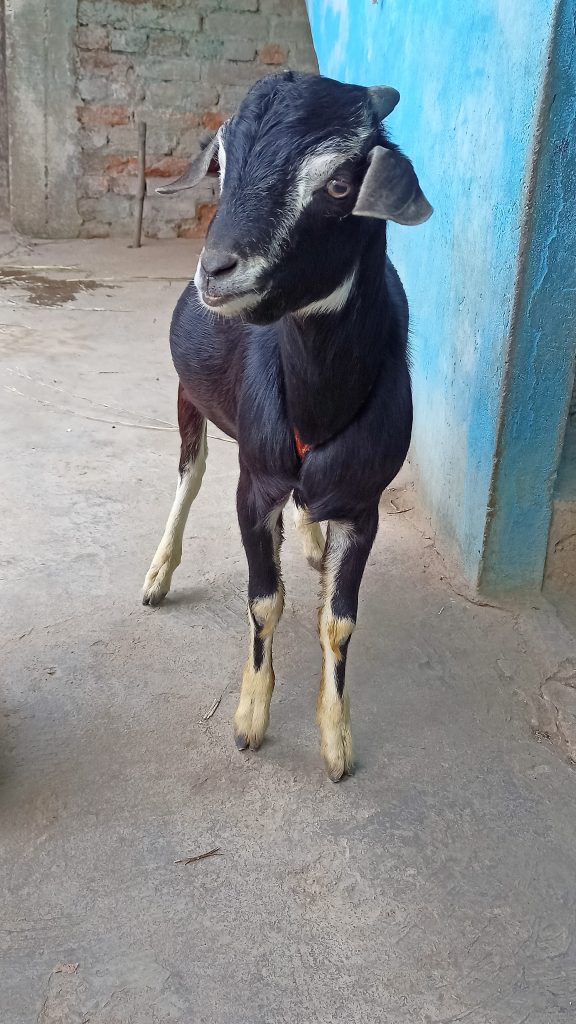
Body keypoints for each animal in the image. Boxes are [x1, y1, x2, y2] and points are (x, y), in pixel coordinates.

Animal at [142, 72, 432, 780]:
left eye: (339, 185)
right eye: (221, 166)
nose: (216, 270)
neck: (317, 406)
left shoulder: (363, 504)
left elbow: (339, 621)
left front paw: (336, 741)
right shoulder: (256, 484)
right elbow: (264, 600)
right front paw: (250, 718)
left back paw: (306, 541)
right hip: (189, 397)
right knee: (189, 474)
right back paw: (158, 575)